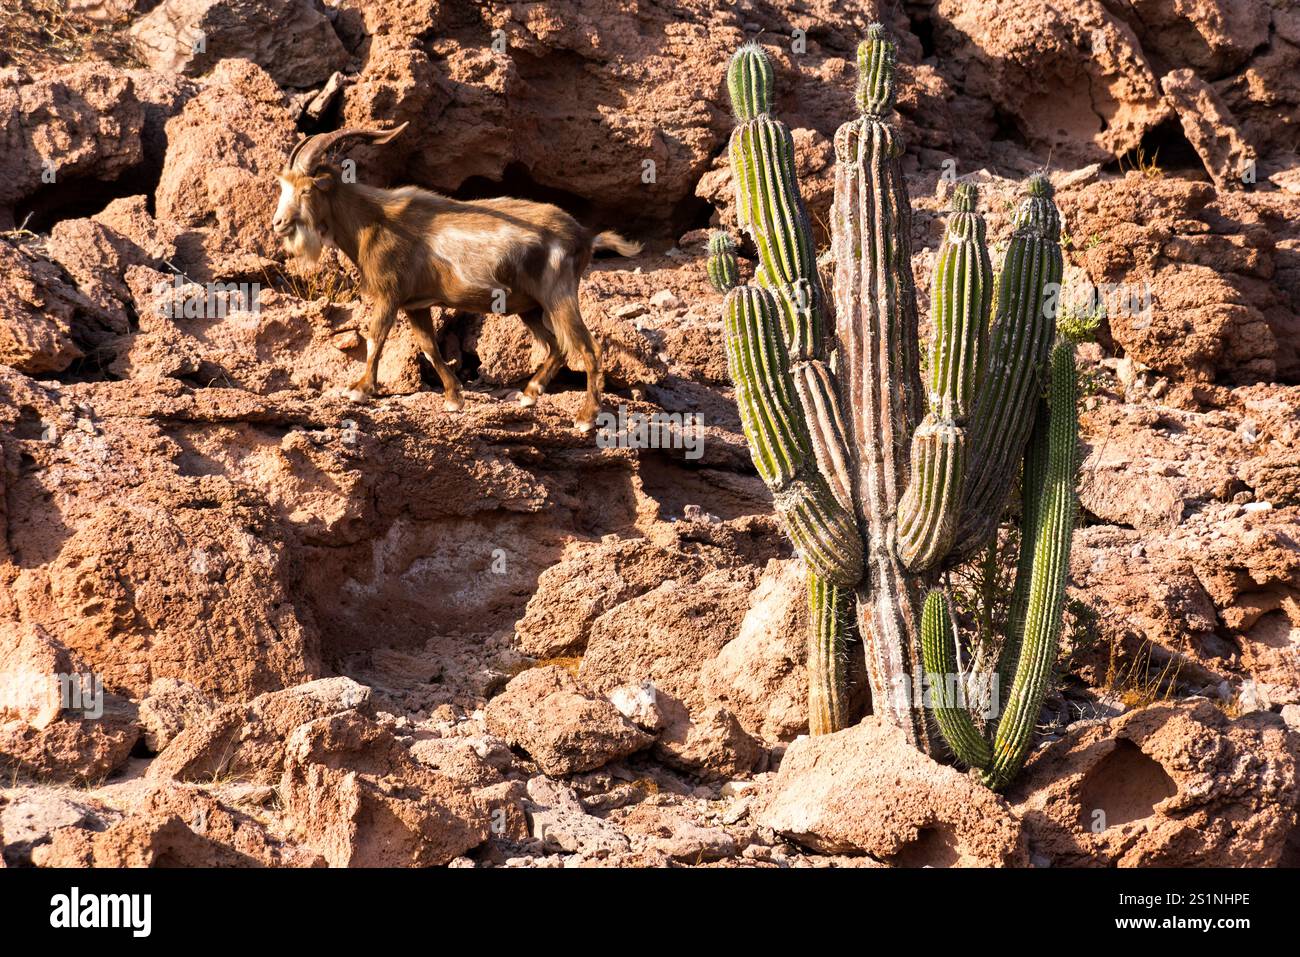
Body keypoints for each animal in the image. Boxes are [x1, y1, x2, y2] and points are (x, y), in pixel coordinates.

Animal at [271, 124, 642, 431]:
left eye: (306, 190)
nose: (278, 224)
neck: (374, 222)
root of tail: (585, 238)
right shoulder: (415, 304)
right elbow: (429, 348)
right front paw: (453, 398)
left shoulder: (389, 294)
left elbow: (376, 339)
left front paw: (359, 390)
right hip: (531, 307)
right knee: (556, 345)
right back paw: (529, 394)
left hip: (559, 294)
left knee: (589, 348)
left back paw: (585, 417)